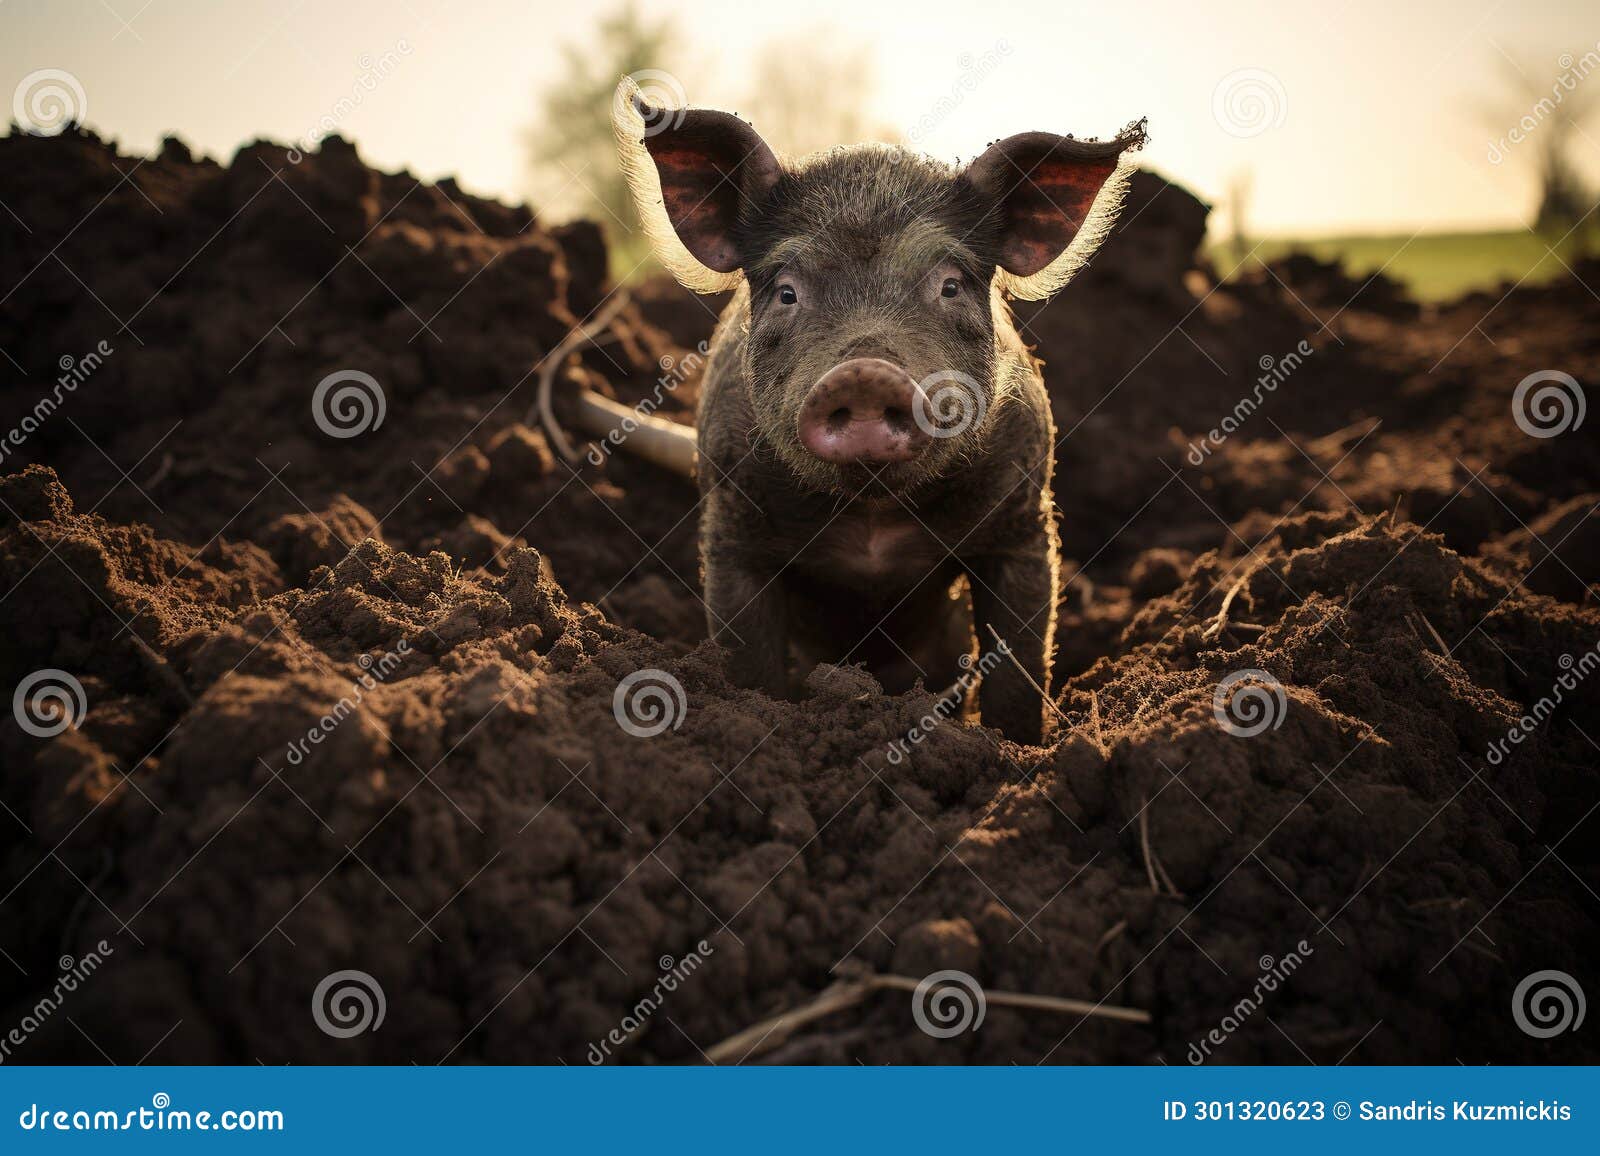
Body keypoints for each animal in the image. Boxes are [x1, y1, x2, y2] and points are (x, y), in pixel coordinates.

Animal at [613, 79, 1145, 745]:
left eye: (950, 285)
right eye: (787, 292)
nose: (865, 373)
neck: (872, 519)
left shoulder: (1024, 520)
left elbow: (1019, 665)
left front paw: (1019, 748)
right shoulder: (730, 526)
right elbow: (749, 665)